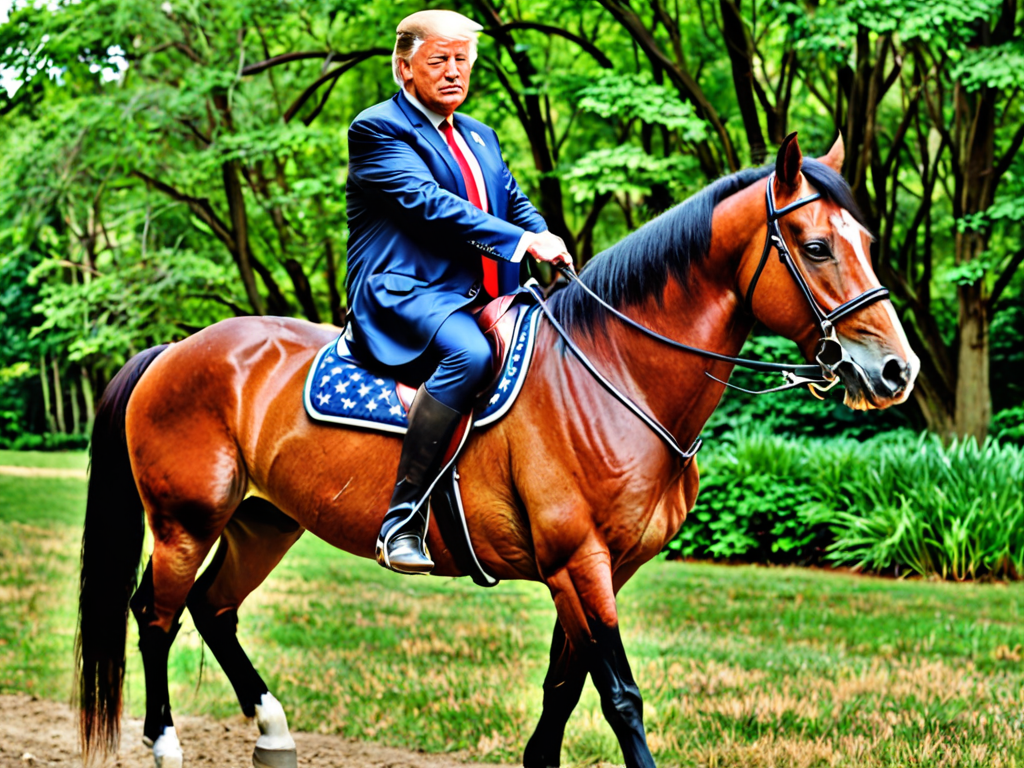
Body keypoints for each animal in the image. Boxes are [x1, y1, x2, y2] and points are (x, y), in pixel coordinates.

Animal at [76, 134, 919, 768]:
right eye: (815, 246)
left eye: (868, 243)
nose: (895, 371)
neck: (615, 372)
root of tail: (176, 349)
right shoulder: (579, 561)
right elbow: (621, 698)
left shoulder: (593, 569)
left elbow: (563, 690)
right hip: (187, 521)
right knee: (156, 614)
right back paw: (165, 743)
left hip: (263, 521)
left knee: (214, 611)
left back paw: (274, 729)